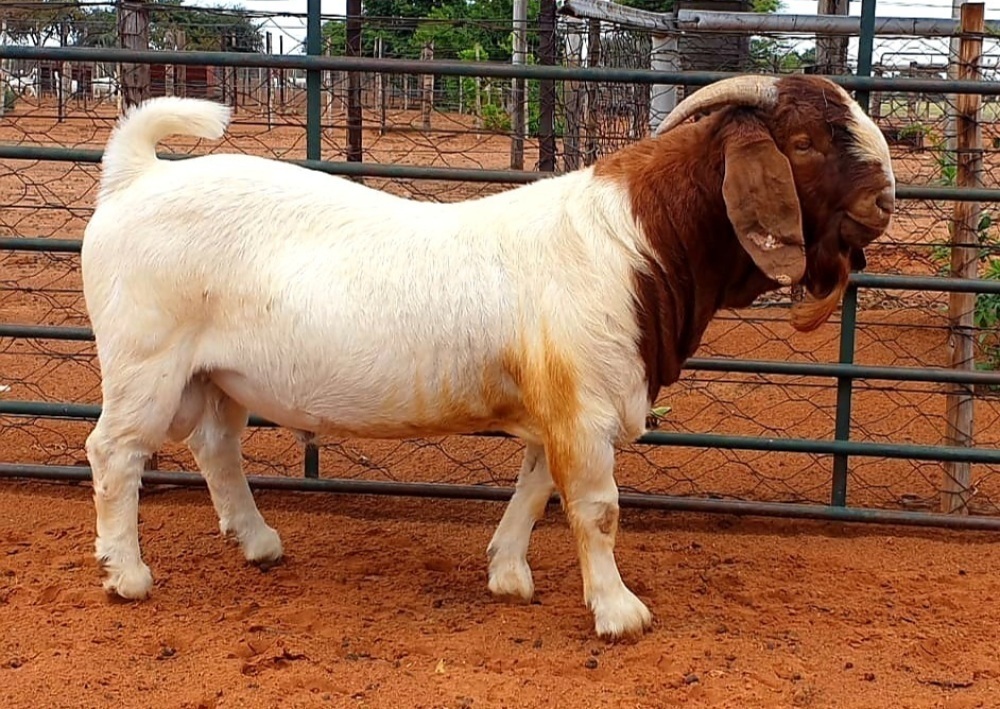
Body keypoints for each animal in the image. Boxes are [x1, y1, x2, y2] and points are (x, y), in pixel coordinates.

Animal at [80, 74, 895, 639]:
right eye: (808, 142)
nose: (886, 201)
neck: (636, 244)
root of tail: (136, 175)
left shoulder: (555, 408)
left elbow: (536, 488)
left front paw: (507, 573)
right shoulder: (583, 409)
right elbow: (596, 509)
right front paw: (618, 612)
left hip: (217, 377)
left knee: (216, 447)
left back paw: (258, 543)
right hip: (147, 364)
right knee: (113, 451)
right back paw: (128, 574)